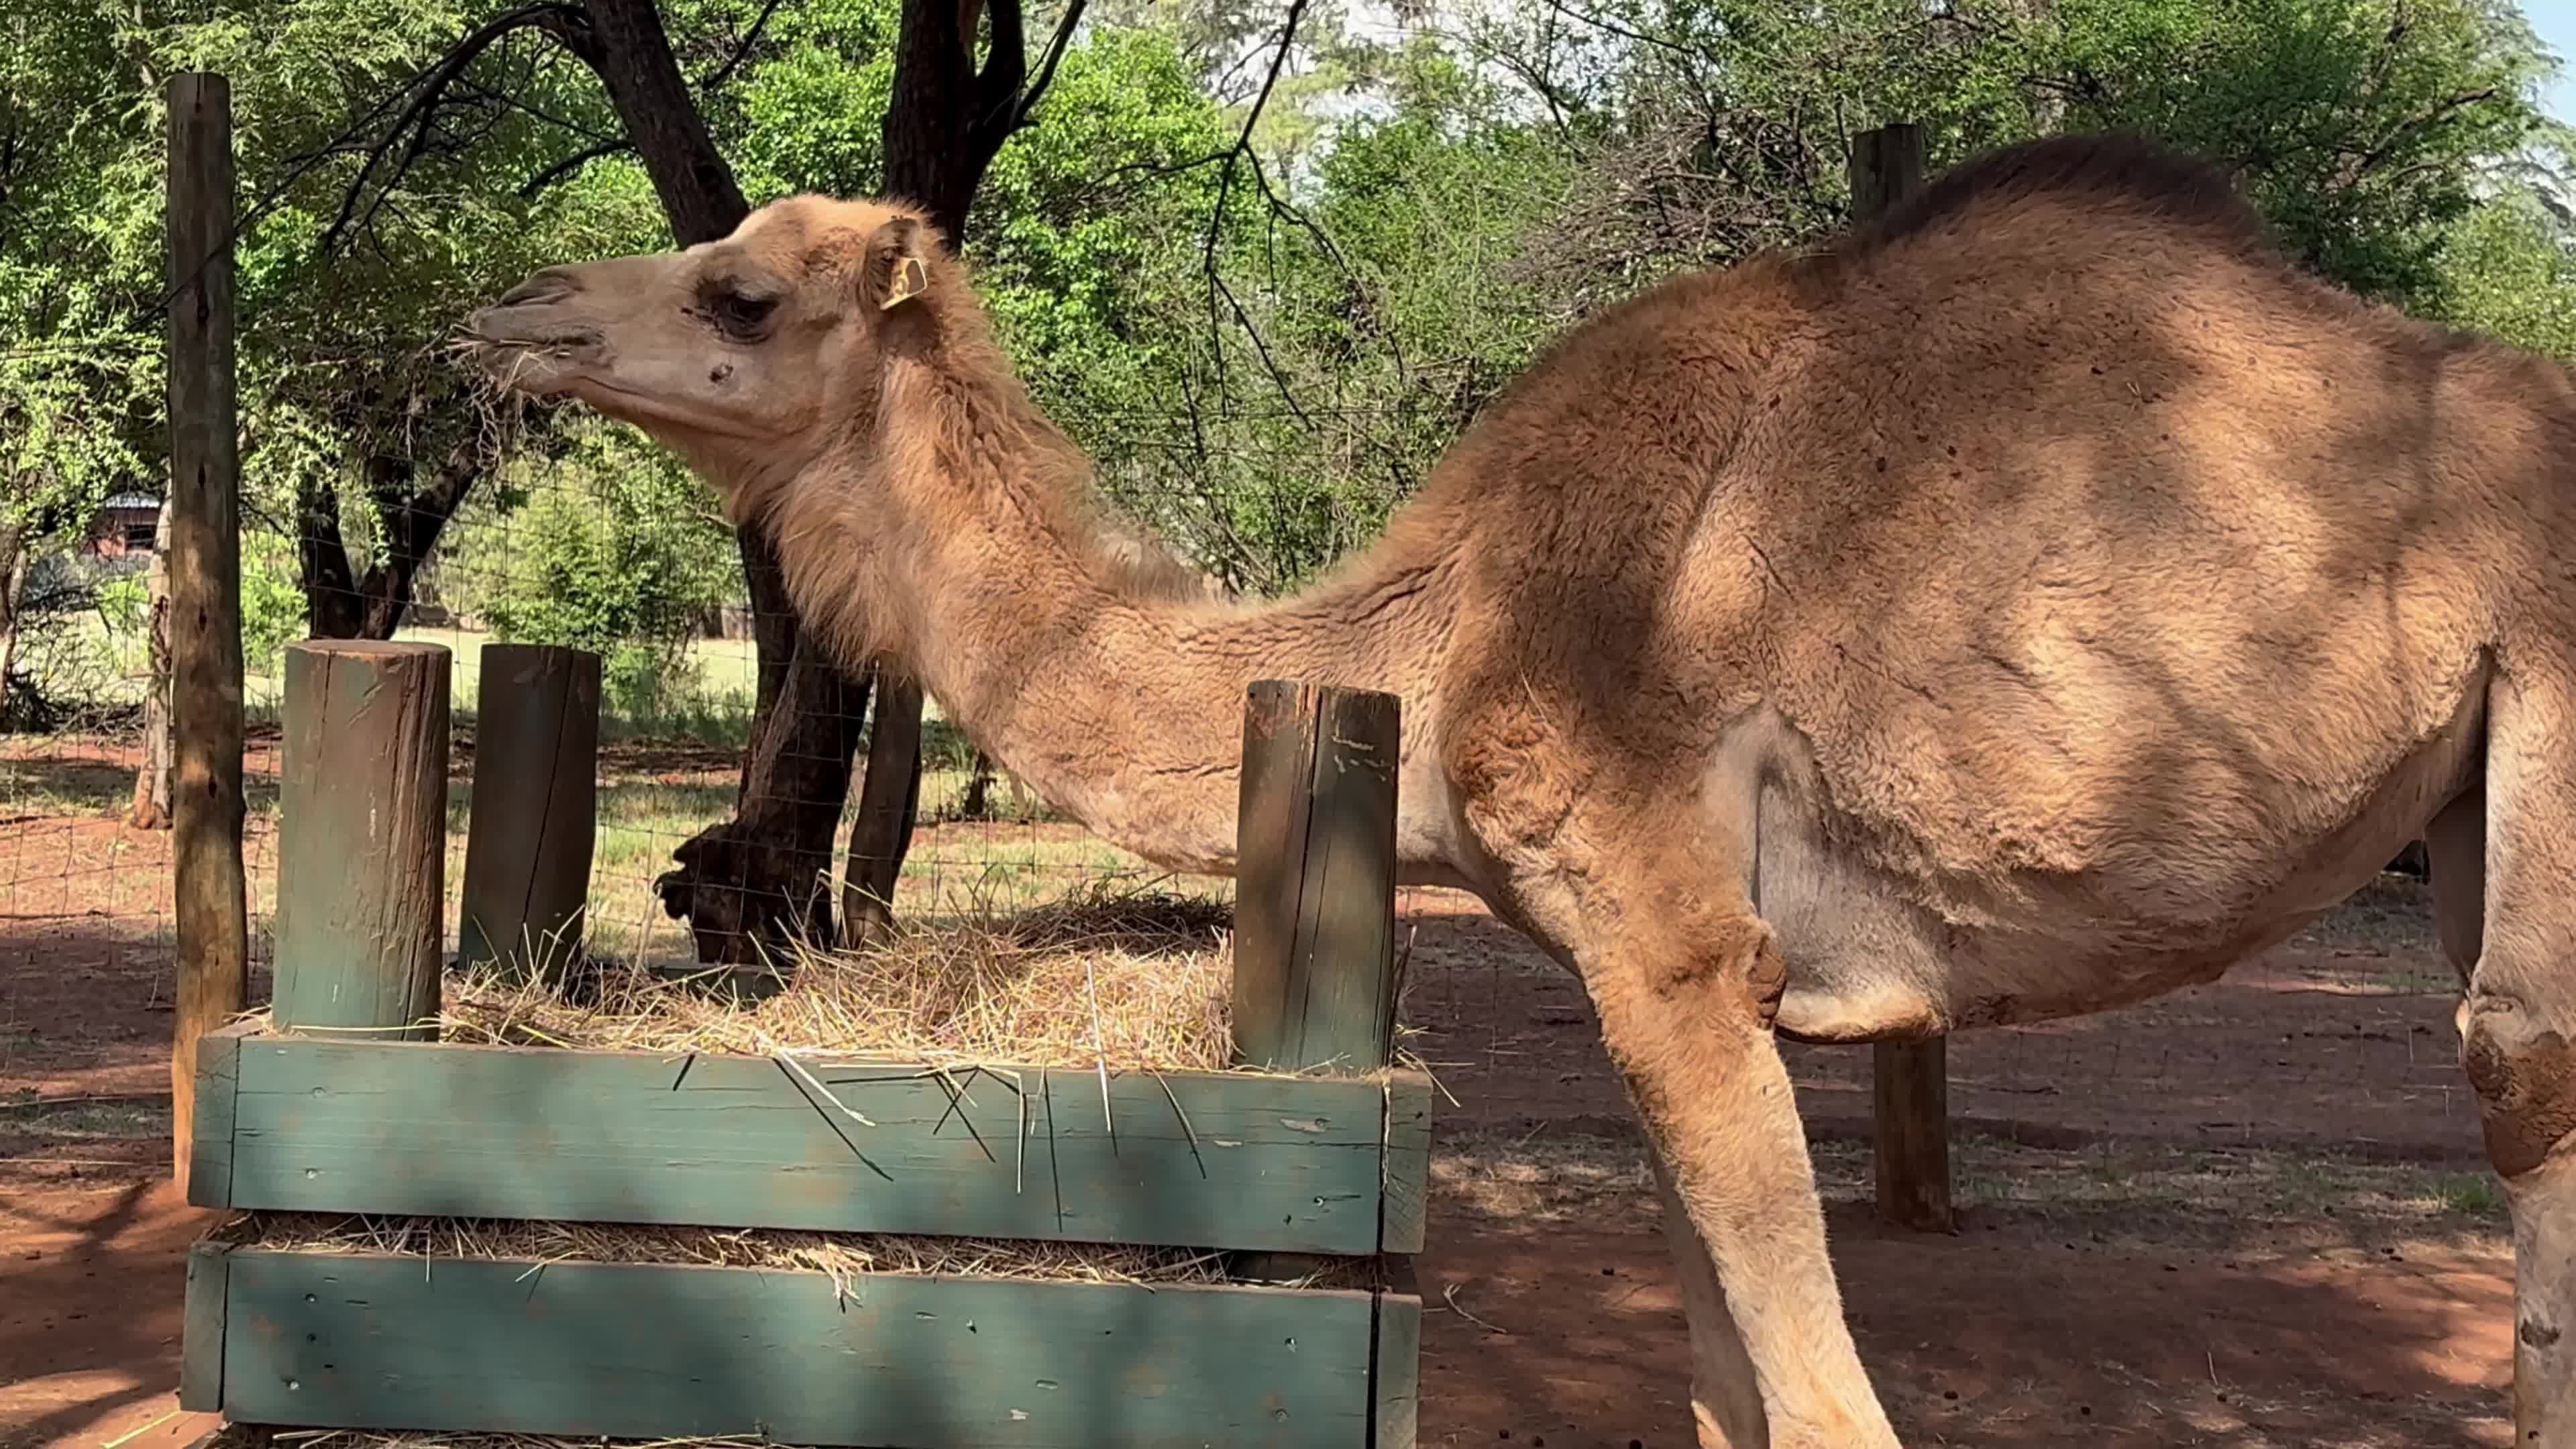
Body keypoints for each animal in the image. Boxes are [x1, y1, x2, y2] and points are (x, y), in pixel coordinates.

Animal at [462, 133, 2576, 1446]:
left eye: (742, 294)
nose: (509, 312)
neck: (1449, 624)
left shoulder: (1672, 934)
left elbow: (1825, 1408)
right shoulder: (1643, 968)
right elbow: (1726, 1398)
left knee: (2521, 1059)